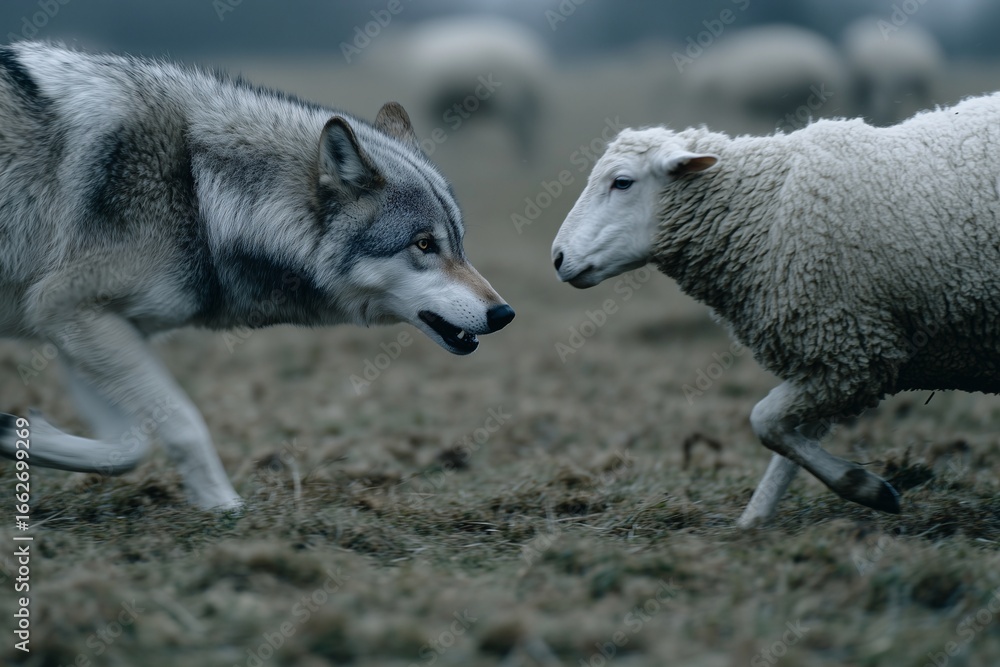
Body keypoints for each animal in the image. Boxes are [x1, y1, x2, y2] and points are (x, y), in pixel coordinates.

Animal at [0, 41, 514, 510]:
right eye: (424, 245)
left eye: (458, 243)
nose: (504, 314)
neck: (201, 193)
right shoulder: (67, 309)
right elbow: (184, 425)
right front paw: (223, 507)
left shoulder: (80, 328)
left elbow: (128, 447)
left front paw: (15, 435)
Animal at [550, 93, 1000, 527]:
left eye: (621, 182)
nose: (557, 258)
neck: (766, 208)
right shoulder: (841, 356)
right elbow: (787, 440)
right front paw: (755, 520)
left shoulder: (850, 351)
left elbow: (763, 421)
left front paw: (866, 487)